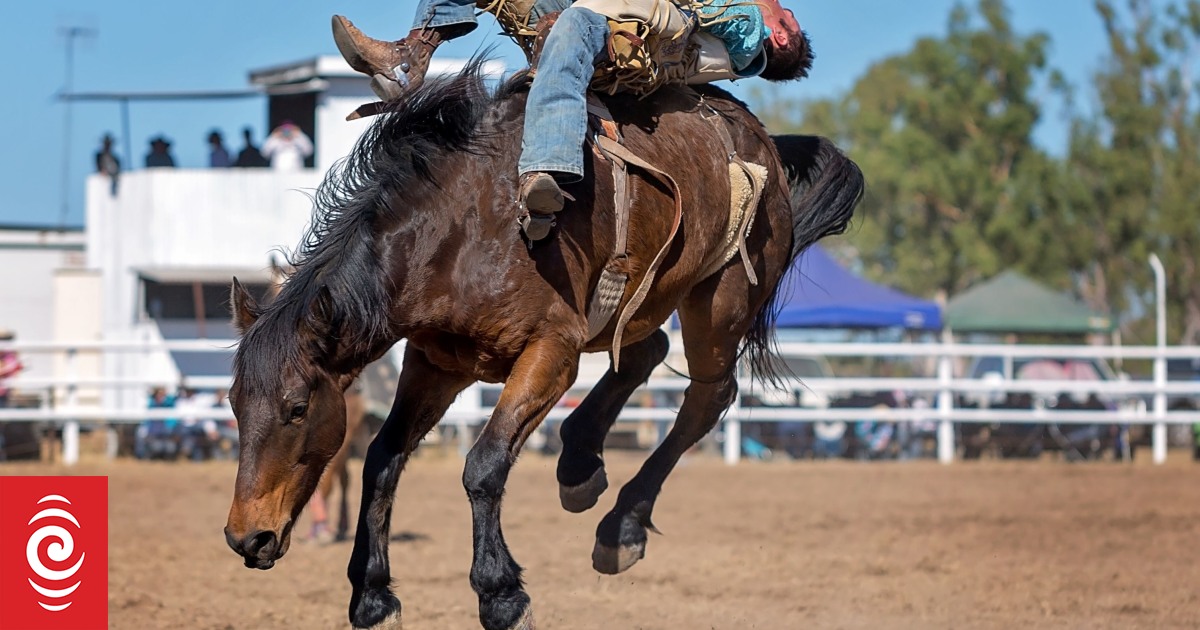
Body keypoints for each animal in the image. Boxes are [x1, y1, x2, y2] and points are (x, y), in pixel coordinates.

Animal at [223, 62, 862, 630]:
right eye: (233, 405)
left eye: (296, 408)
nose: (245, 536)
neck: (462, 229)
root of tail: (763, 142)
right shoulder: (436, 362)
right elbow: (383, 459)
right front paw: (373, 597)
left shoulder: (550, 354)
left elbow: (483, 464)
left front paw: (501, 595)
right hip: (645, 293)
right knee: (648, 350)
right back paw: (579, 462)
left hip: (719, 299)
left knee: (710, 393)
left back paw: (621, 527)